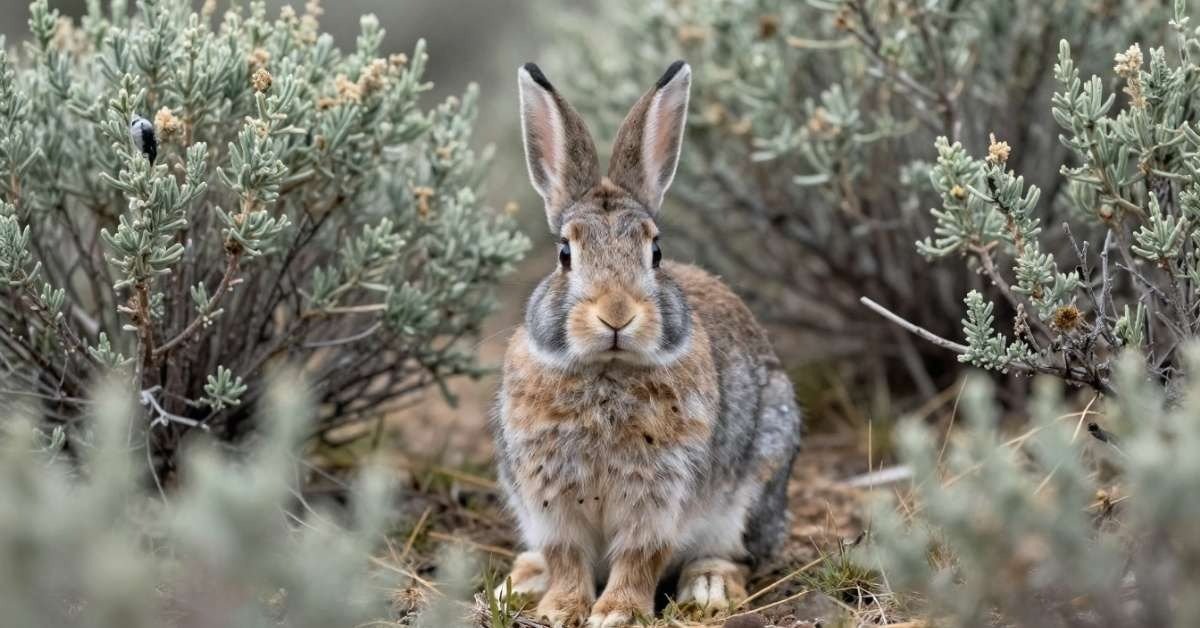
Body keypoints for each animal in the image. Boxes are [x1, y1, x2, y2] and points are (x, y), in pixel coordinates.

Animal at [491, 60, 802, 628]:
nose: (617, 314)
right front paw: (559, 610)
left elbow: (640, 555)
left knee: (734, 555)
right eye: (564, 253)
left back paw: (708, 589)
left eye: (655, 252)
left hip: (756, 482)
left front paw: (616, 613)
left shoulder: (660, 496)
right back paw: (521, 582)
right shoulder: (547, 501)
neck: (607, 371)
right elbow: (565, 556)